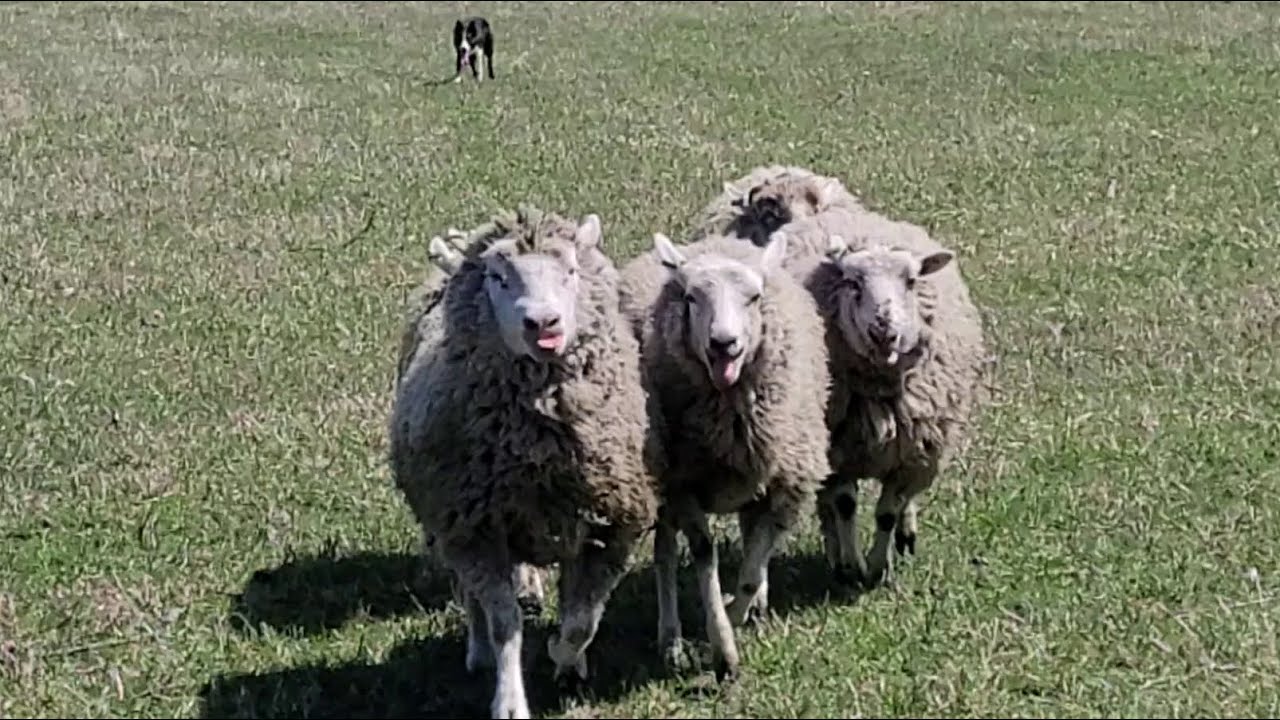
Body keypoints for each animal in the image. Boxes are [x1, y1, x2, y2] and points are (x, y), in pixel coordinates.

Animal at [618, 230, 832, 680]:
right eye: (692, 298)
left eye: (754, 297)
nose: (723, 345)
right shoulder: (683, 487)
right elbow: (704, 555)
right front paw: (723, 648)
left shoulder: (784, 487)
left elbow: (750, 572)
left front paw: (739, 611)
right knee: (664, 554)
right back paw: (670, 639)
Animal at [776, 209, 989, 590]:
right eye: (852, 283)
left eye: (911, 281)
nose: (883, 331)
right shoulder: (838, 452)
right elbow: (844, 505)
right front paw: (853, 566)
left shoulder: (913, 455)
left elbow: (888, 512)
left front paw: (878, 568)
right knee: (826, 506)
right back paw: (835, 555)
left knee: (904, 504)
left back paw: (905, 535)